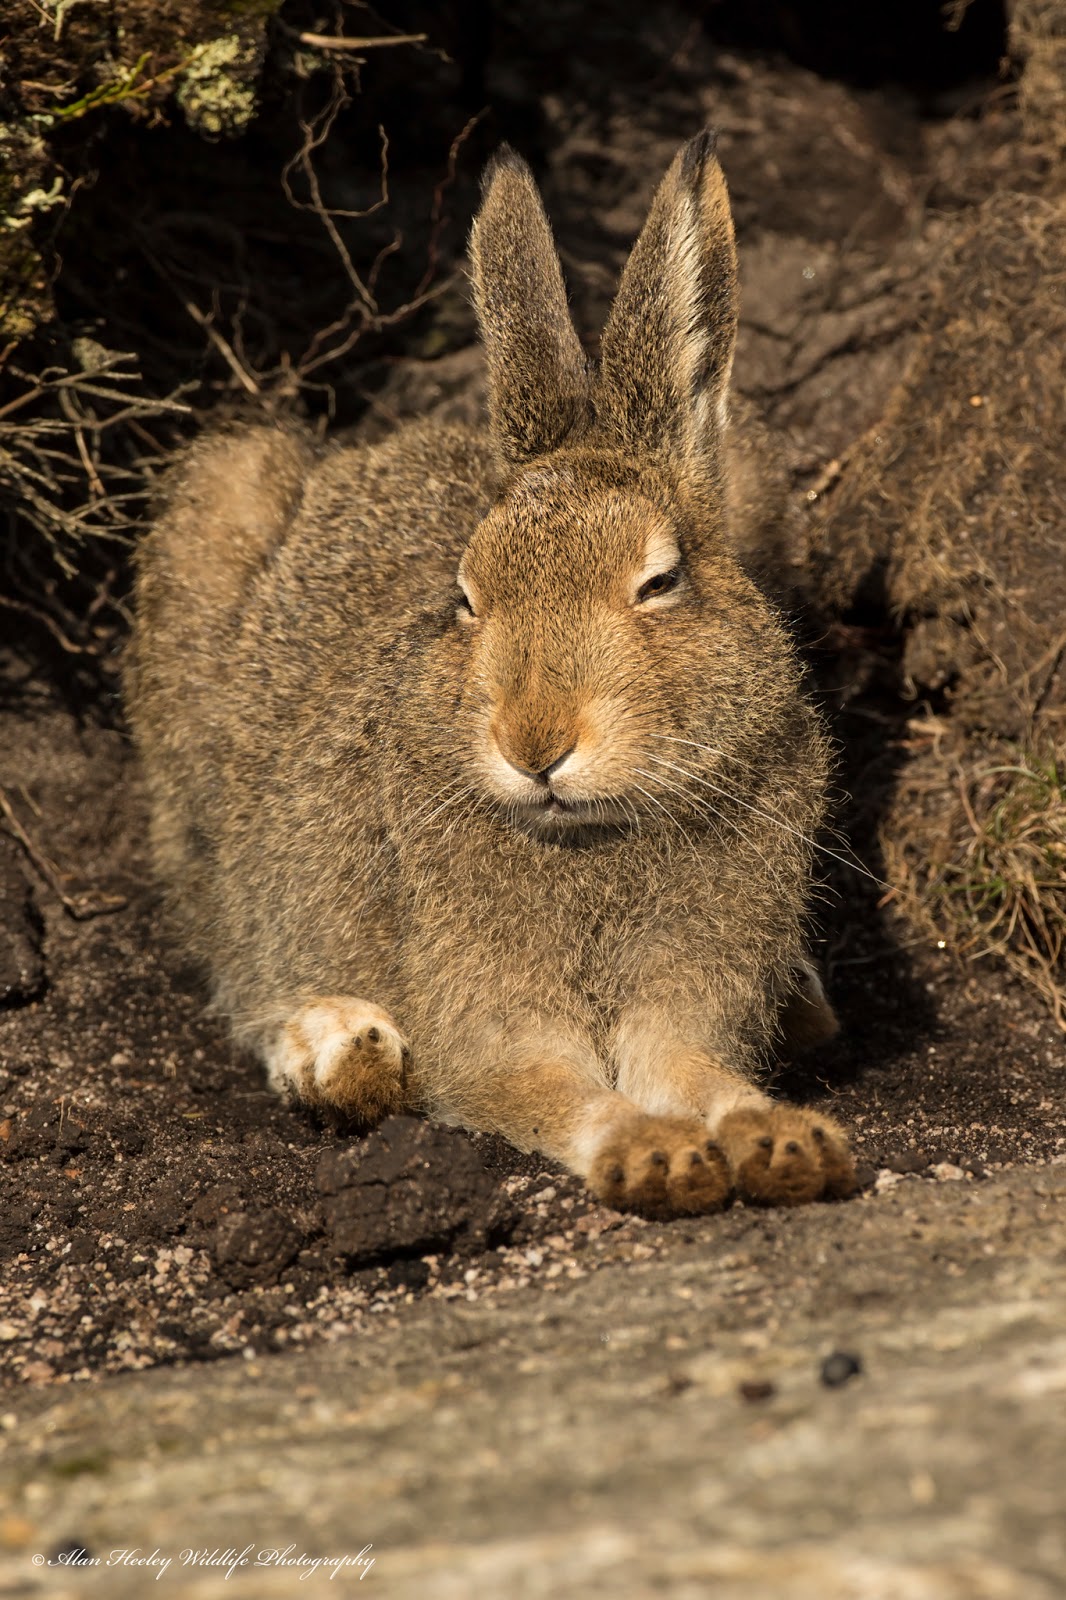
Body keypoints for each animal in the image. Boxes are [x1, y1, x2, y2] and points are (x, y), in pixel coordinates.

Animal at [125, 131, 856, 1217]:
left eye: (661, 581)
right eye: (465, 597)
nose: (534, 744)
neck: (592, 830)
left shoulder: (687, 999)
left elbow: (702, 1076)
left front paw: (778, 1142)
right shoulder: (491, 1030)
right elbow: (559, 1095)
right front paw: (656, 1156)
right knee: (230, 939)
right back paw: (331, 1049)